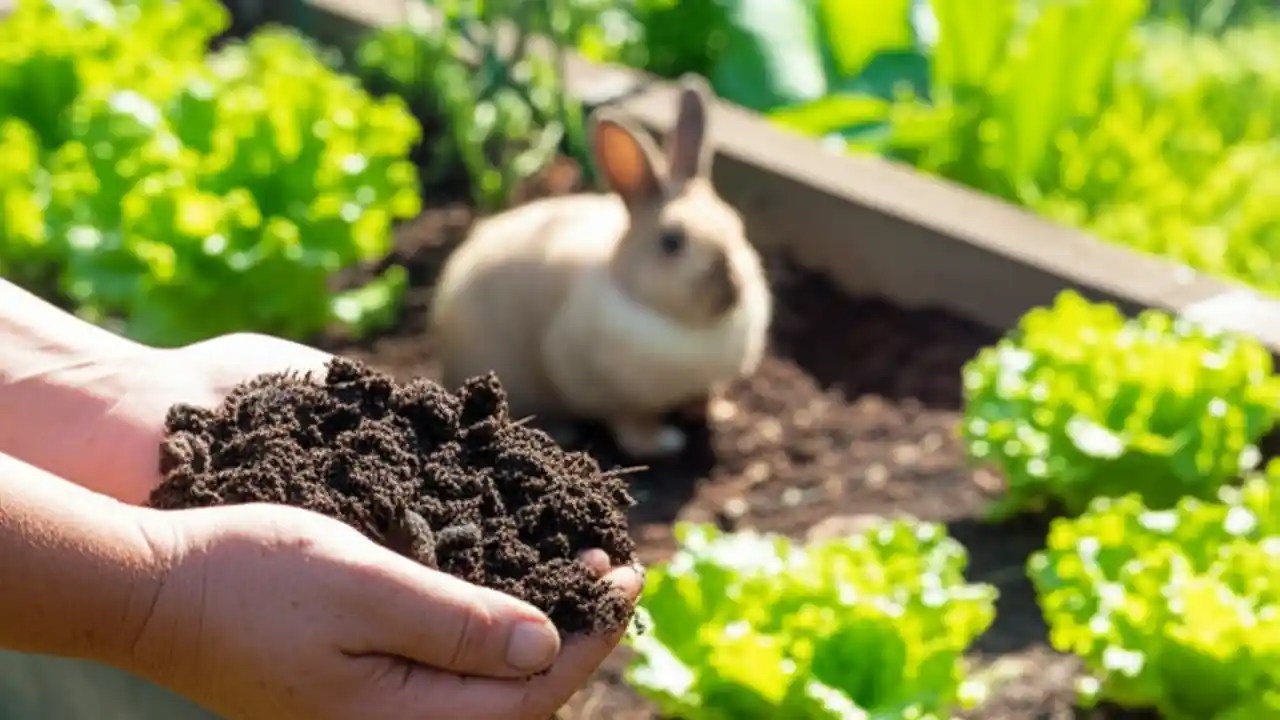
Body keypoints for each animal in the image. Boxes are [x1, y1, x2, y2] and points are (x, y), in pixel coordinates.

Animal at [429, 73, 772, 459]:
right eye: (671, 242)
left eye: (737, 225)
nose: (731, 291)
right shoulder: (611, 397)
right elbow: (630, 427)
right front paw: (665, 442)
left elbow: (704, 396)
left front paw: (718, 413)